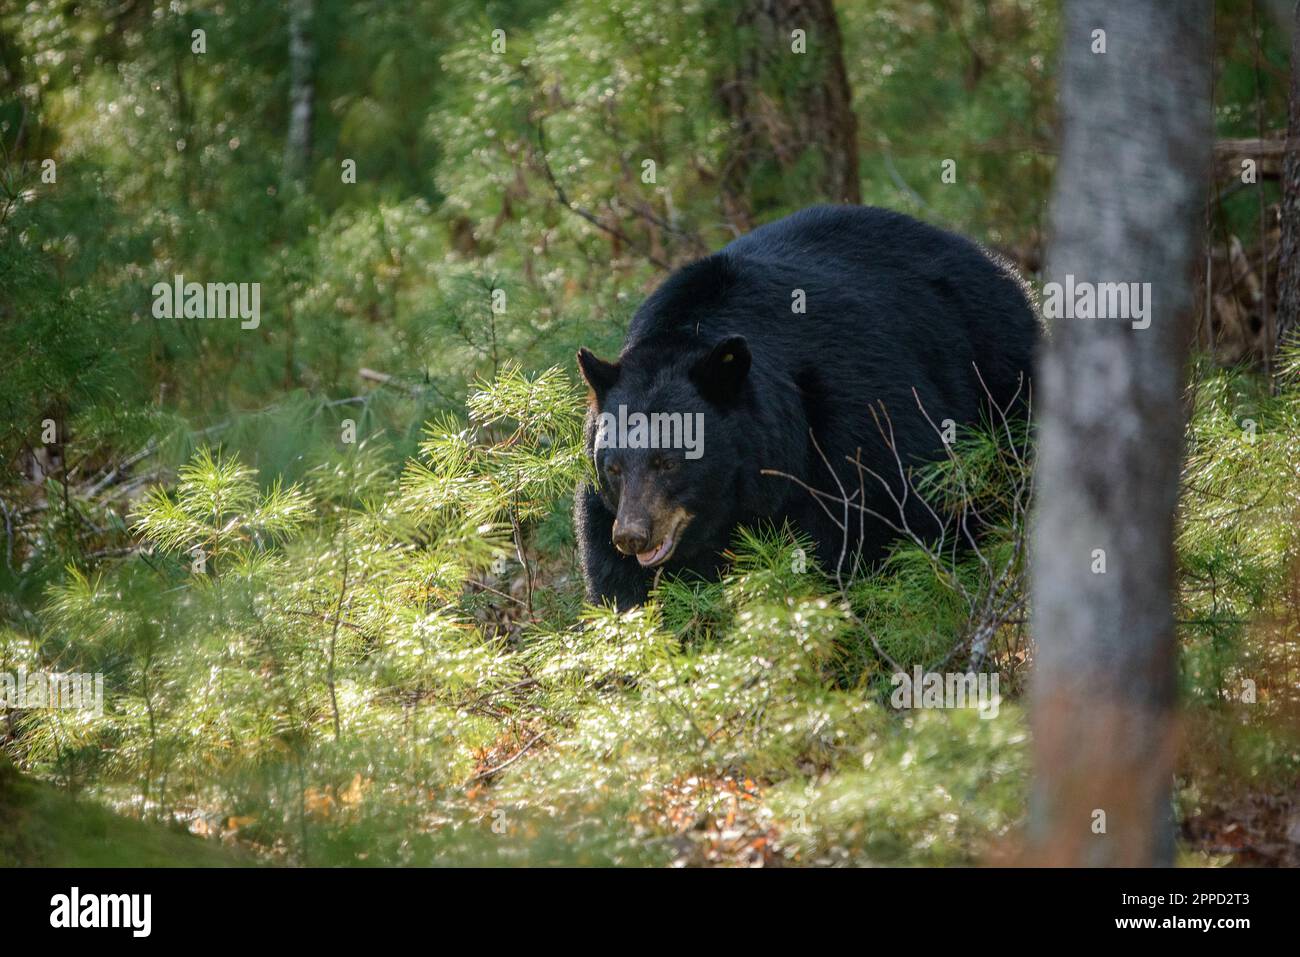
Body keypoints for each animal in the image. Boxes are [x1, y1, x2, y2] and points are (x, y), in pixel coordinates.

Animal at [575, 204, 1038, 609]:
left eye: (668, 461)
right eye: (612, 467)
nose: (633, 535)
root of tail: (990, 259)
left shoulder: (855, 421)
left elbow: (900, 522)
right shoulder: (604, 508)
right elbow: (621, 586)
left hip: (1000, 377)